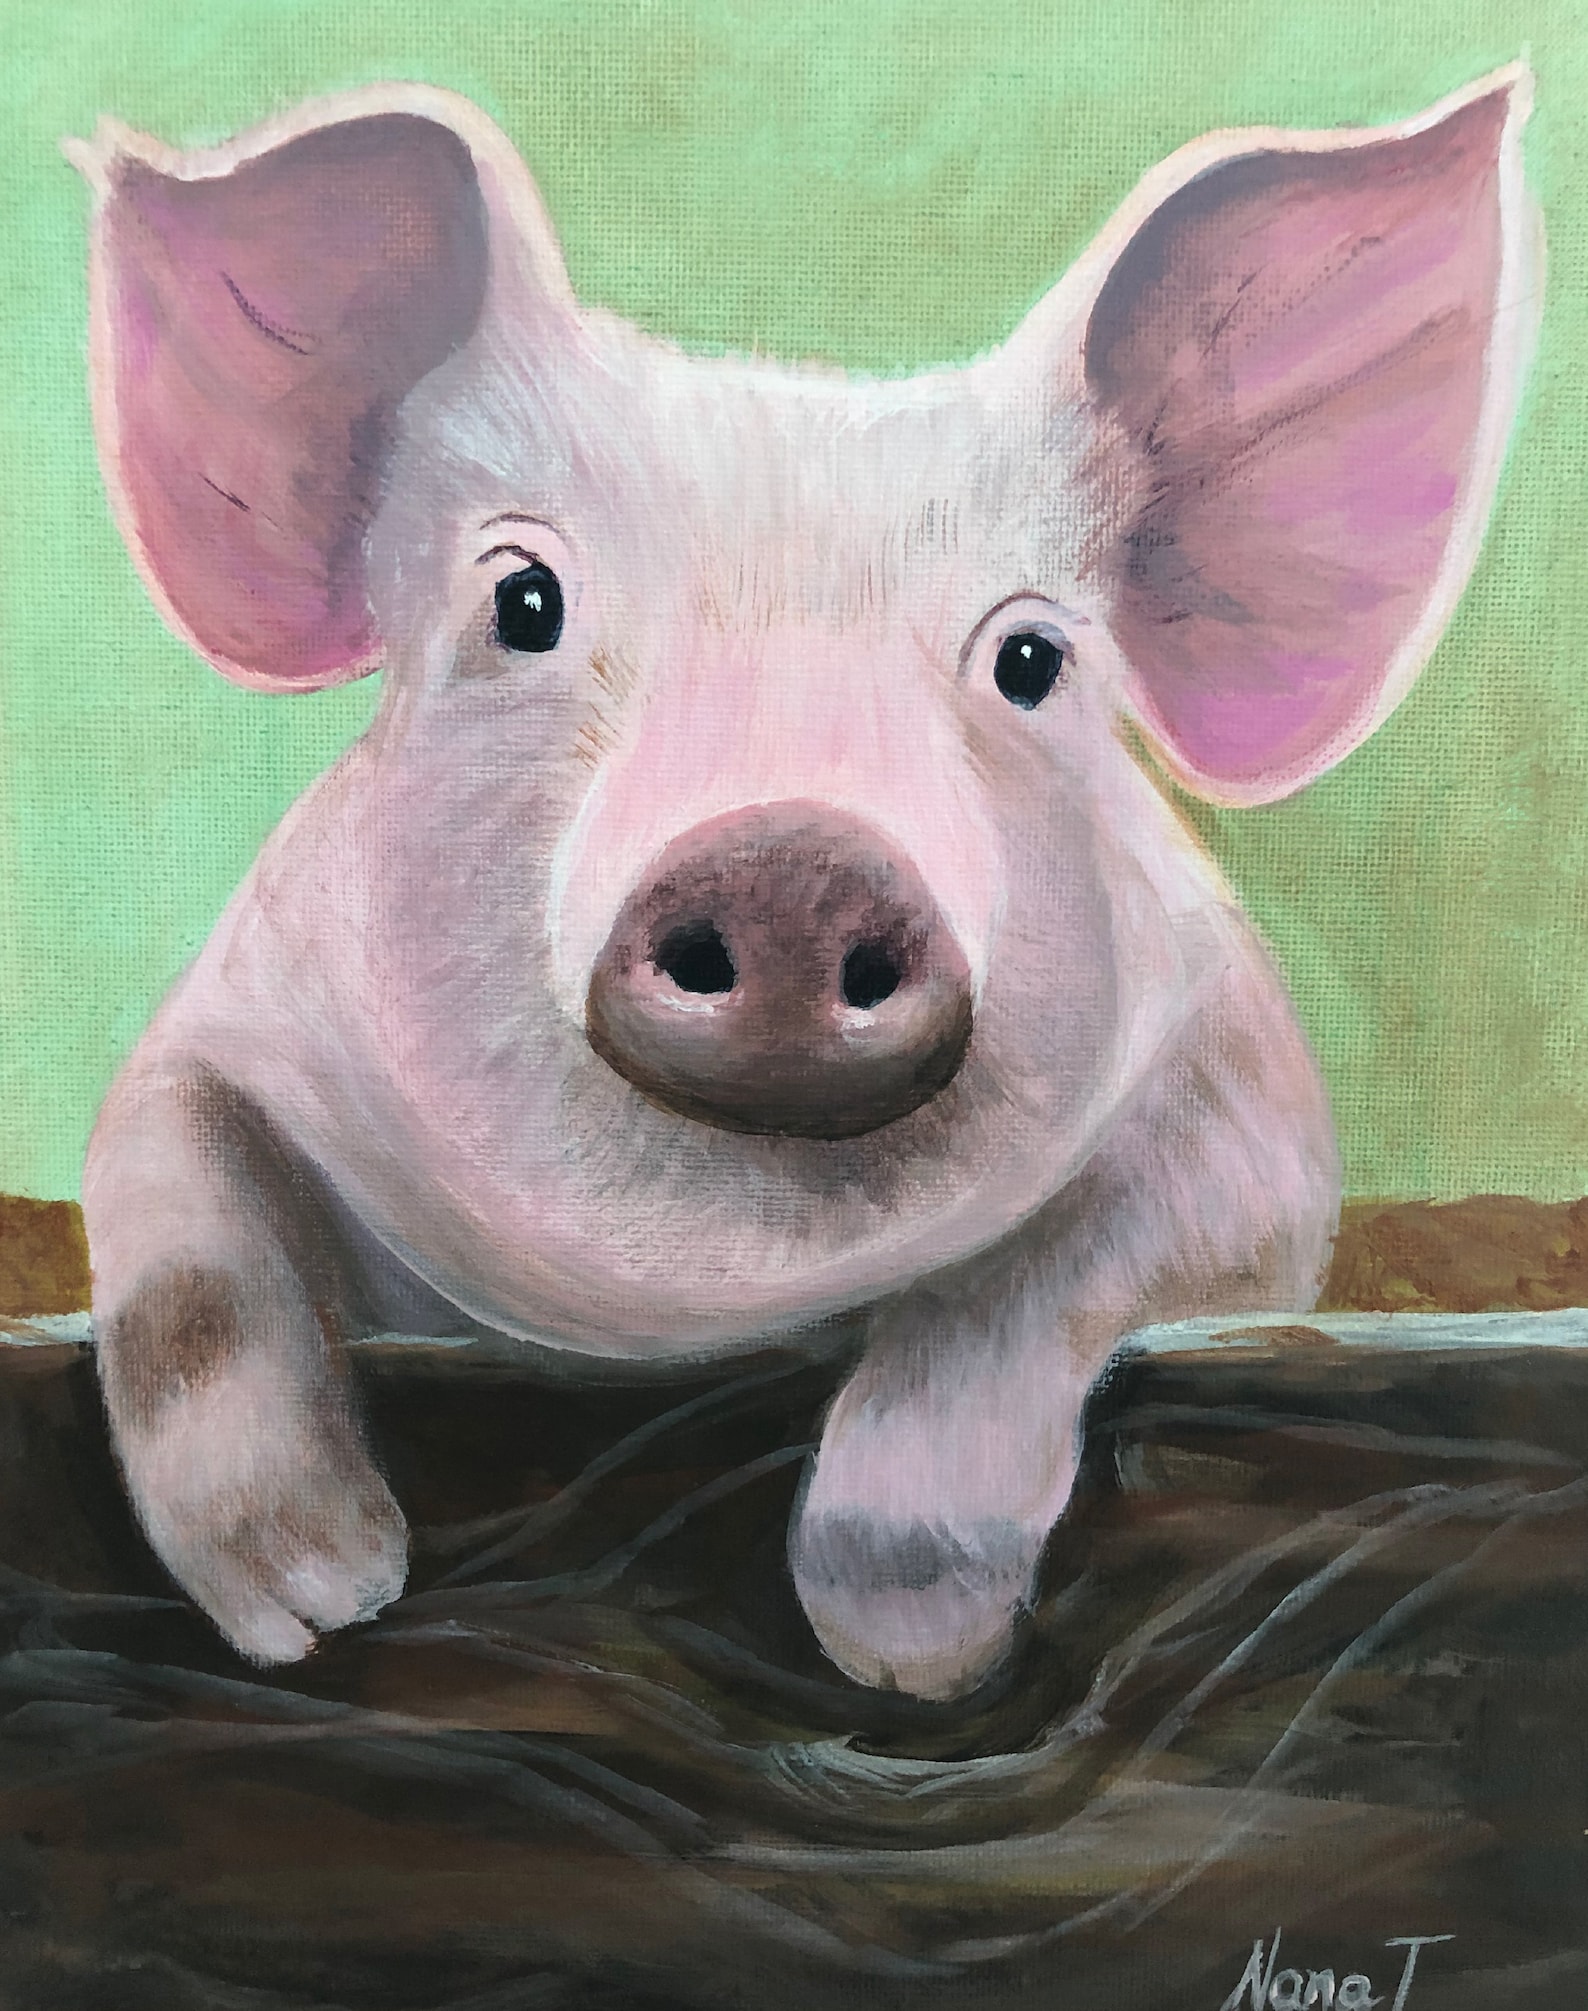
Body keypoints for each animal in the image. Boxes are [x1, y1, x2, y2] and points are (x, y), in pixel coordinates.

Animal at [69, 65, 1538, 1700]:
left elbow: (1030, 1276)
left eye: (1032, 658)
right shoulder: (225, 1029)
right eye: (524, 599)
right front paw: (320, 1599)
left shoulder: (1255, 1134)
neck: (677, 1305)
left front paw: (909, 1657)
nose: (791, 861)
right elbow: (181, 1247)